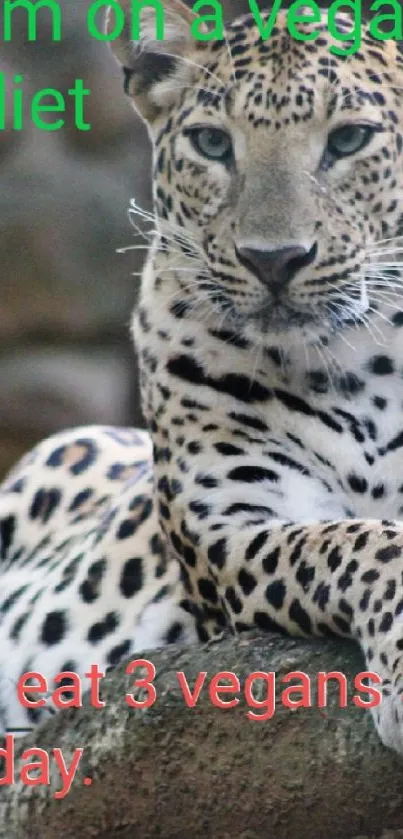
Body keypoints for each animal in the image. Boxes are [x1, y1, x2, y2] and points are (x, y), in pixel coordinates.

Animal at [1, 0, 403, 754]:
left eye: (349, 139)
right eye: (214, 145)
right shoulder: (233, 525)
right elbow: (361, 542)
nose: (273, 260)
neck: (360, 361)